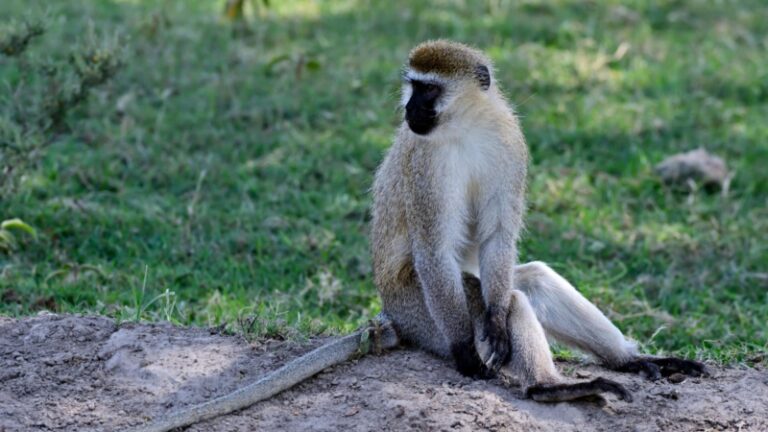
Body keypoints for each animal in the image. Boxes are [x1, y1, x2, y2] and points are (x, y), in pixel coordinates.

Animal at [123, 40, 704, 432]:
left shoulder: (509, 143)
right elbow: (435, 250)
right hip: (419, 309)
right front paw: (469, 355)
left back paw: (632, 362)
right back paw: (547, 388)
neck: (464, 127)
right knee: (501, 298)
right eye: (412, 88)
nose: (408, 110)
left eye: (428, 89)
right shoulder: (426, 167)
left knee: (526, 283)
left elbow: (497, 237)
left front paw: (499, 327)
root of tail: (391, 316)